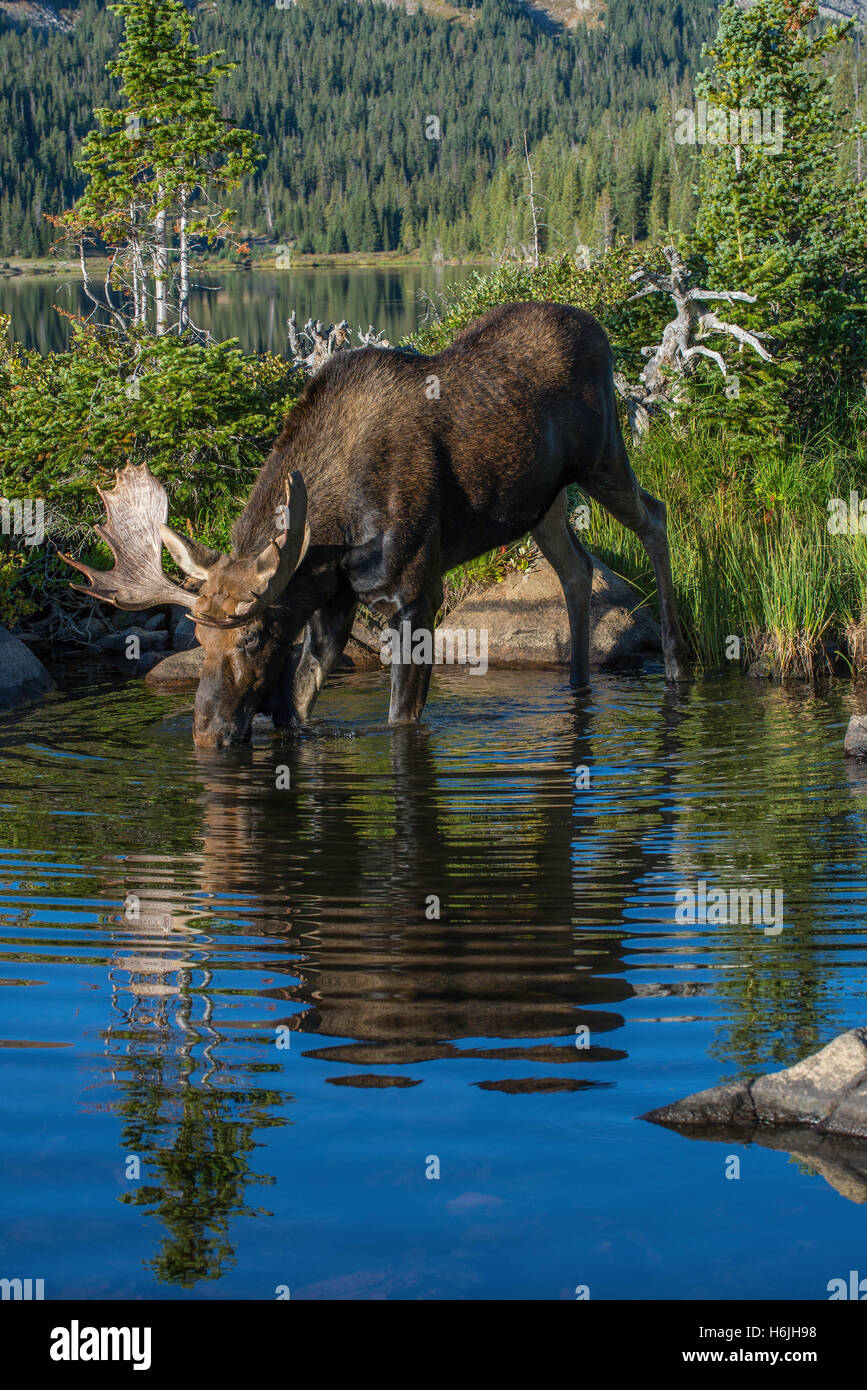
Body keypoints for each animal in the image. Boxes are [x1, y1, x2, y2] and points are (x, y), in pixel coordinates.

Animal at [64, 300, 688, 748]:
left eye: (254, 637)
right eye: (197, 637)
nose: (207, 733)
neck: (330, 537)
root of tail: (599, 329)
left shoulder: (415, 593)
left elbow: (399, 719)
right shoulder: (332, 603)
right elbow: (298, 703)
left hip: (604, 455)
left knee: (656, 517)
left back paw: (675, 664)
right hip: (544, 502)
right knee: (577, 568)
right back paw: (580, 682)